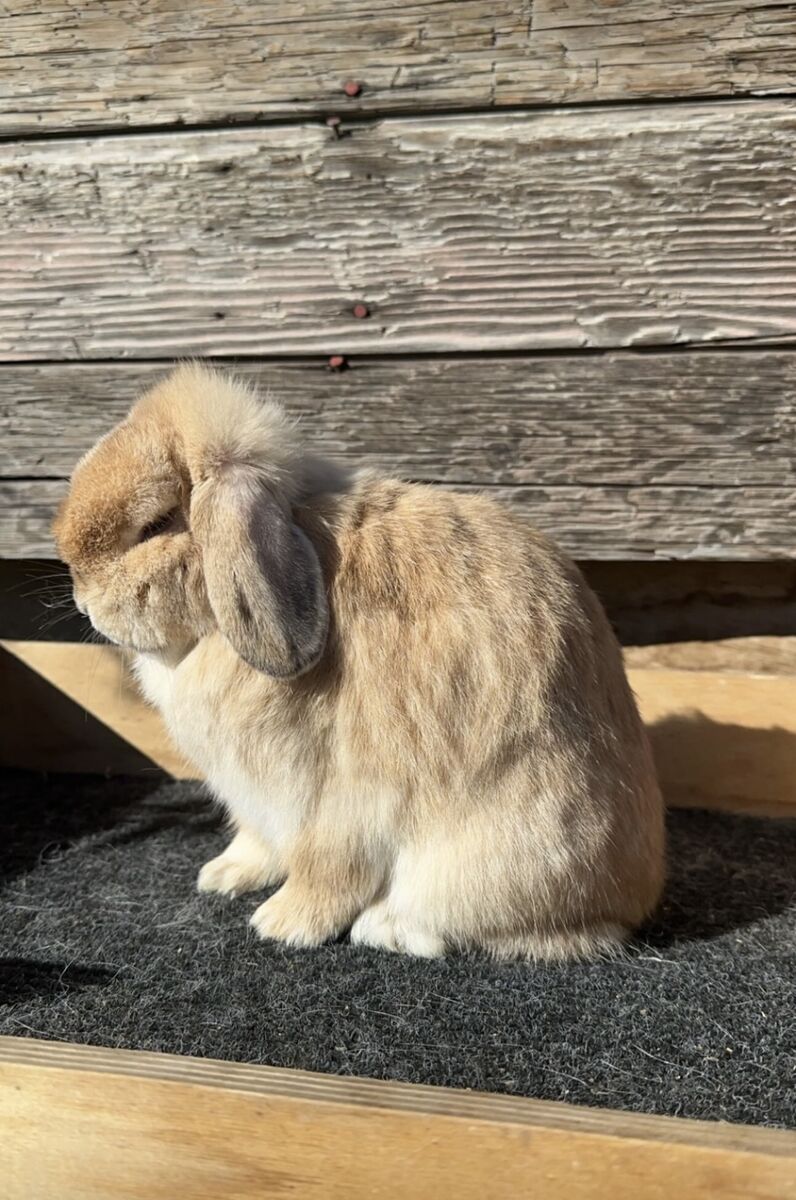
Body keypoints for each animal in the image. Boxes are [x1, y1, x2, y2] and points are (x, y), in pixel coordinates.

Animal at [54, 362, 665, 960]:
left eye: (157, 524)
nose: (85, 602)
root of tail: (632, 897)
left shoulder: (333, 801)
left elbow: (326, 869)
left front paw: (280, 924)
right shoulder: (256, 802)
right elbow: (256, 841)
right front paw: (223, 875)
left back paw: (385, 927)